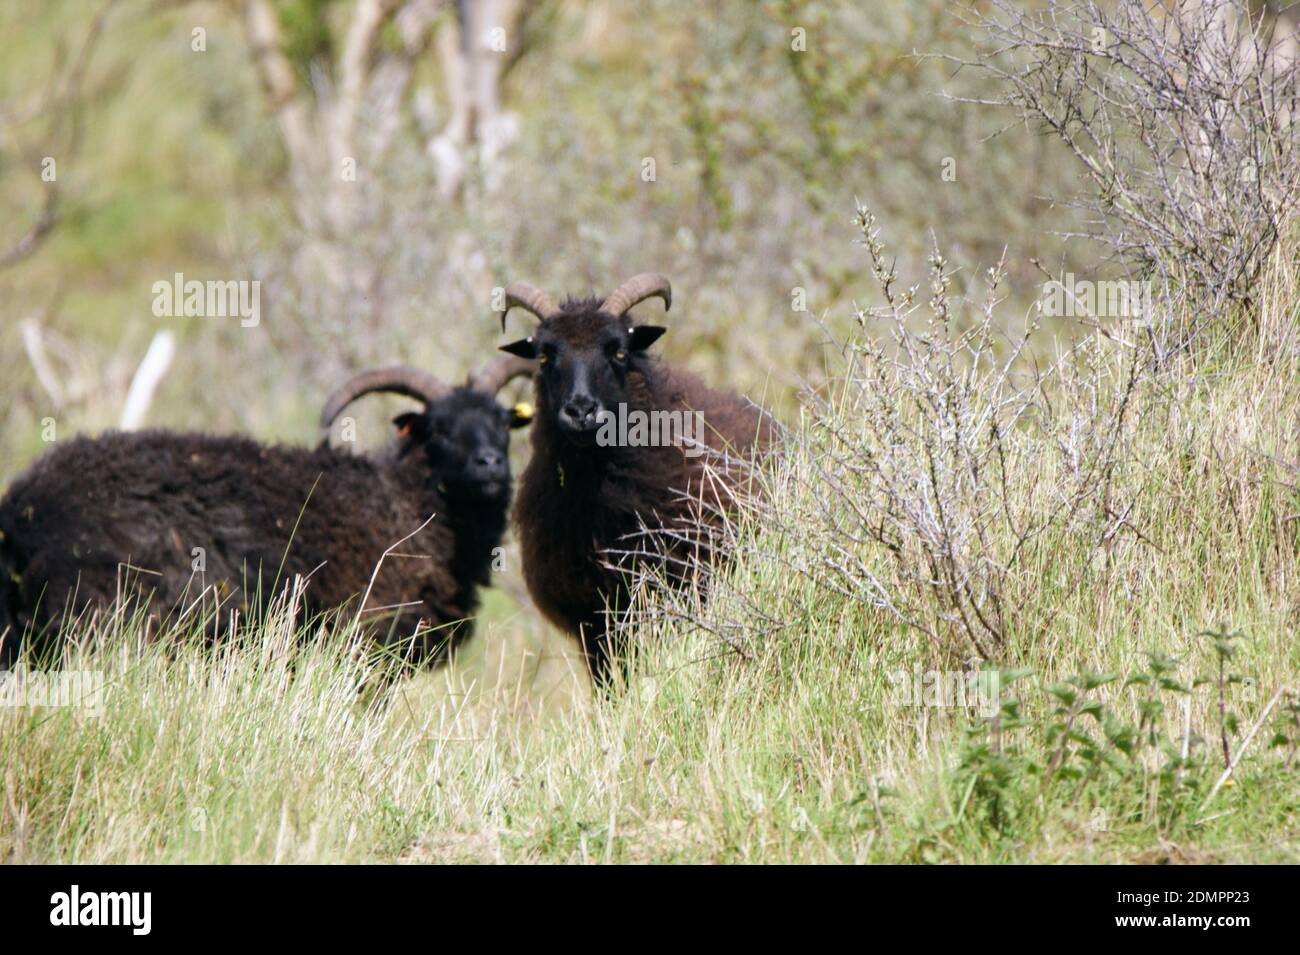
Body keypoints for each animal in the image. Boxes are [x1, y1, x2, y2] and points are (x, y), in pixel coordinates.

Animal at [0, 356, 534, 670]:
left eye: (504, 422)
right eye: (438, 430)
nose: (490, 463)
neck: (403, 503)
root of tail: (21, 507)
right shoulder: (362, 643)